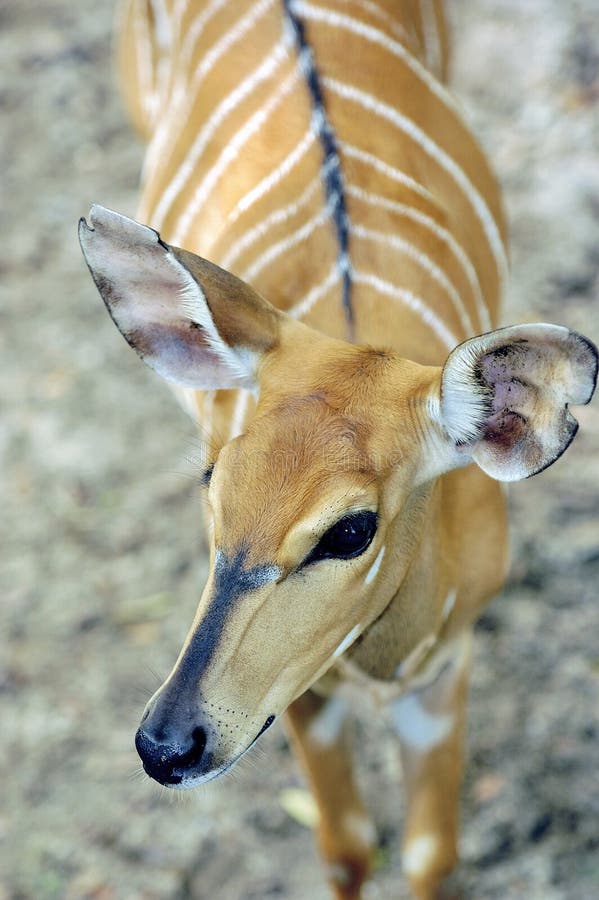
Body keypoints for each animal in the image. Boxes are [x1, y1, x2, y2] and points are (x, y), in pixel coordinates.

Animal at [79, 1, 598, 897]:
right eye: (214, 480)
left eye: (351, 529)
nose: (166, 745)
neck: (377, 669)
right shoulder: (304, 693)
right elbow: (347, 844)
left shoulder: (443, 668)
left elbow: (427, 852)